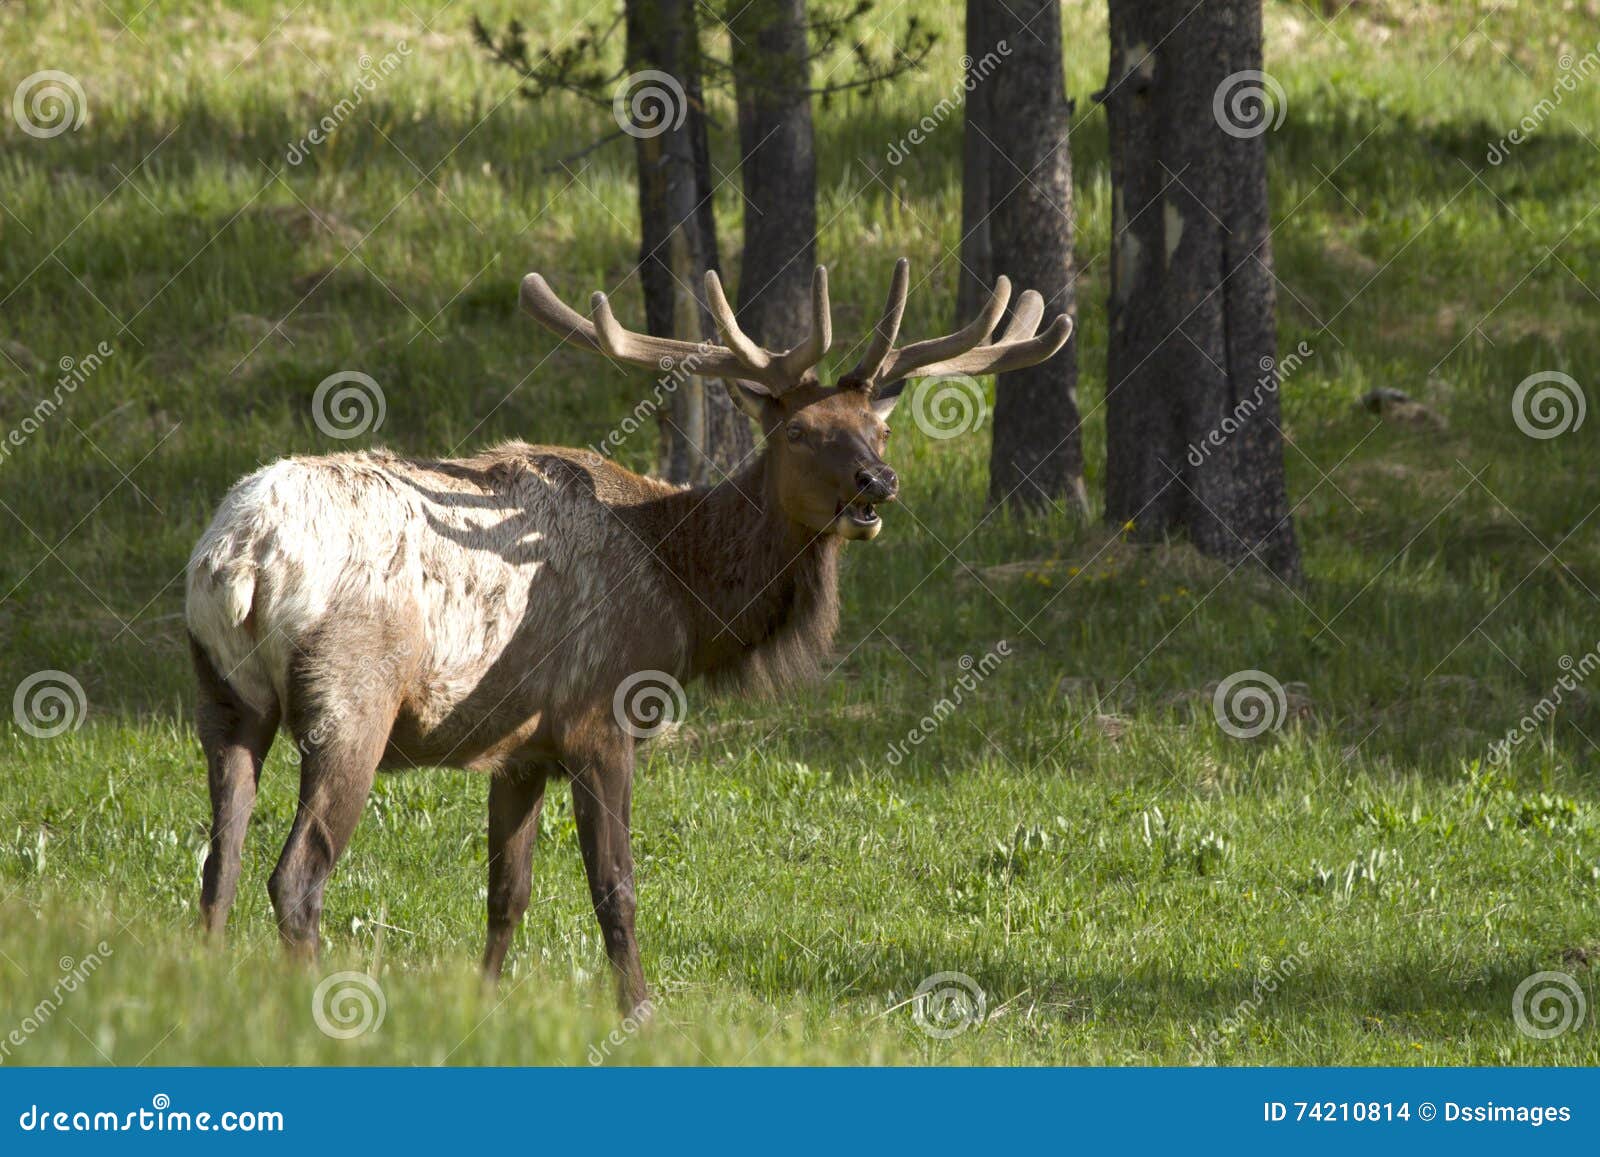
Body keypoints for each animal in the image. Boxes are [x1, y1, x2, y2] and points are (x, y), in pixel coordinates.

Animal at [184, 258, 1072, 1014]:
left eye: (877, 432)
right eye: (796, 432)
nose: (876, 483)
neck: (684, 595)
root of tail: (244, 551)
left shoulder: (518, 746)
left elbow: (507, 893)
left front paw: (486, 1003)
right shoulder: (599, 717)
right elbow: (616, 888)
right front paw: (641, 1011)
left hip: (222, 691)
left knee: (219, 859)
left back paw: (210, 981)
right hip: (353, 695)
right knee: (295, 874)